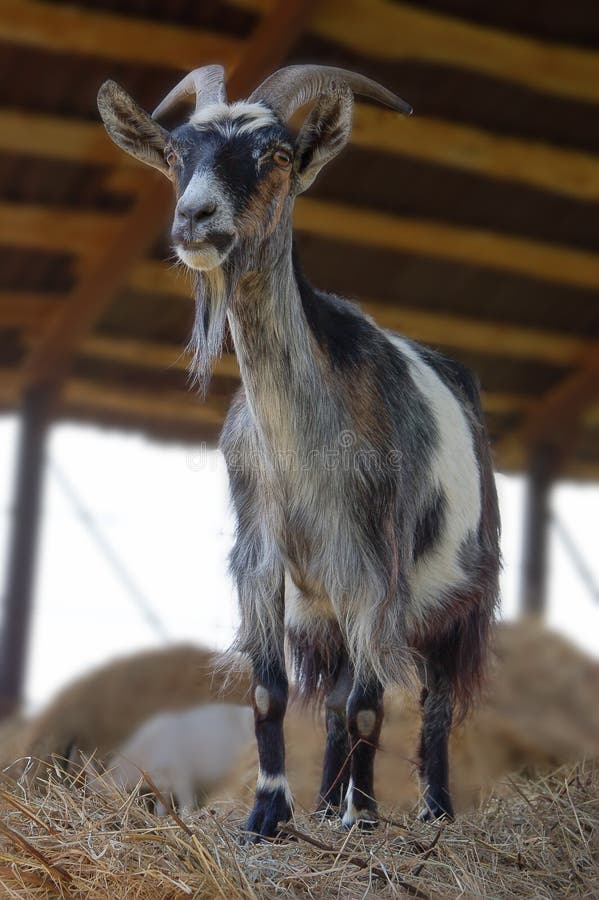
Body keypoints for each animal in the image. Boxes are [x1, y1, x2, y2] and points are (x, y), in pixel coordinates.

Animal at [98, 64, 500, 840]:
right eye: (177, 153)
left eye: (277, 155)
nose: (195, 218)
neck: (303, 450)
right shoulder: (262, 555)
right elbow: (271, 694)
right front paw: (268, 814)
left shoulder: (377, 567)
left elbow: (372, 705)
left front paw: (364, 819)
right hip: (324, 608)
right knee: (339, 704)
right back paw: (325, 804)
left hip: (461, 594)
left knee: (432, 702)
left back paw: (430, 811)